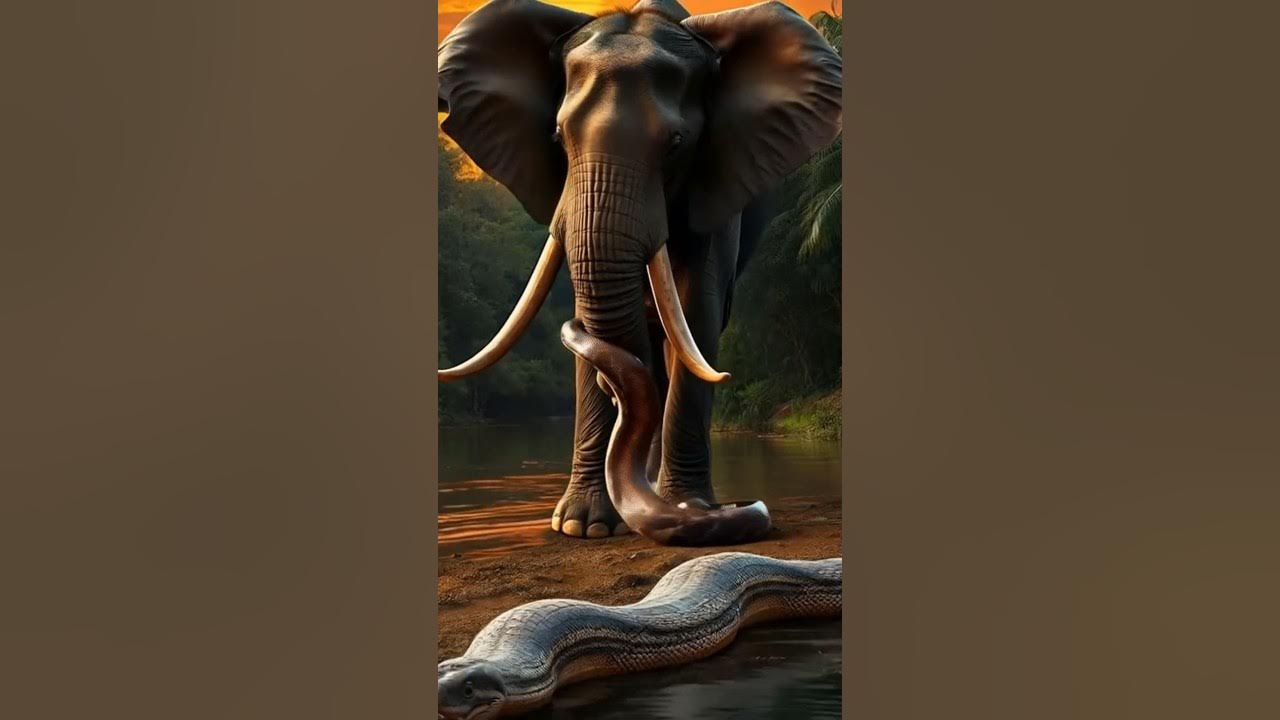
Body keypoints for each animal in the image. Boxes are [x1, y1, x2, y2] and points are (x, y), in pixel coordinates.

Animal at [437, 0, 842, 539]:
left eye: (676, 142)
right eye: (558, 136)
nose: (612, 391)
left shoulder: (718, 183)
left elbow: (696, 312)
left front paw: (692, 508)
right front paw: (582, 527)